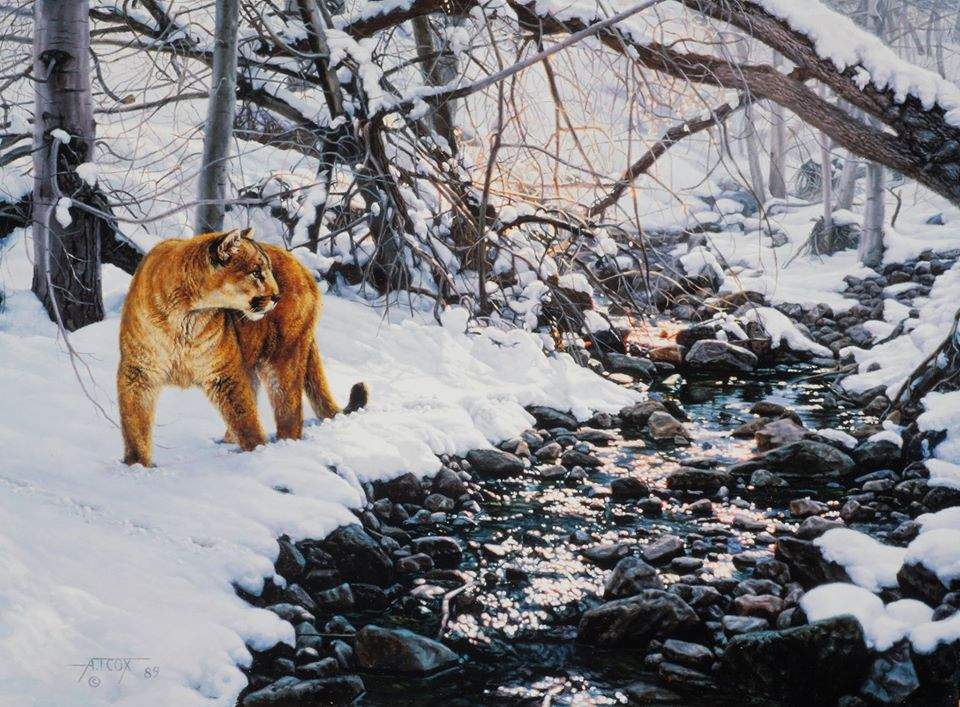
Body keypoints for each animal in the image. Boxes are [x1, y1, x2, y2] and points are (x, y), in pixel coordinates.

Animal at [117, 227, 367, 466]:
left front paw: (258, 451)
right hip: (250, 362)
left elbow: (244, 416)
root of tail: (303, 269)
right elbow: (135, 422)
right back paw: (228, 443)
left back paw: (285, 447)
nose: (277, 296)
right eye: (256, 272)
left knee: (290, 411)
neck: (186, 314)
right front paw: (136, 464)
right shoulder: (138, 372)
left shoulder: (223, 373)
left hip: (282, 359)